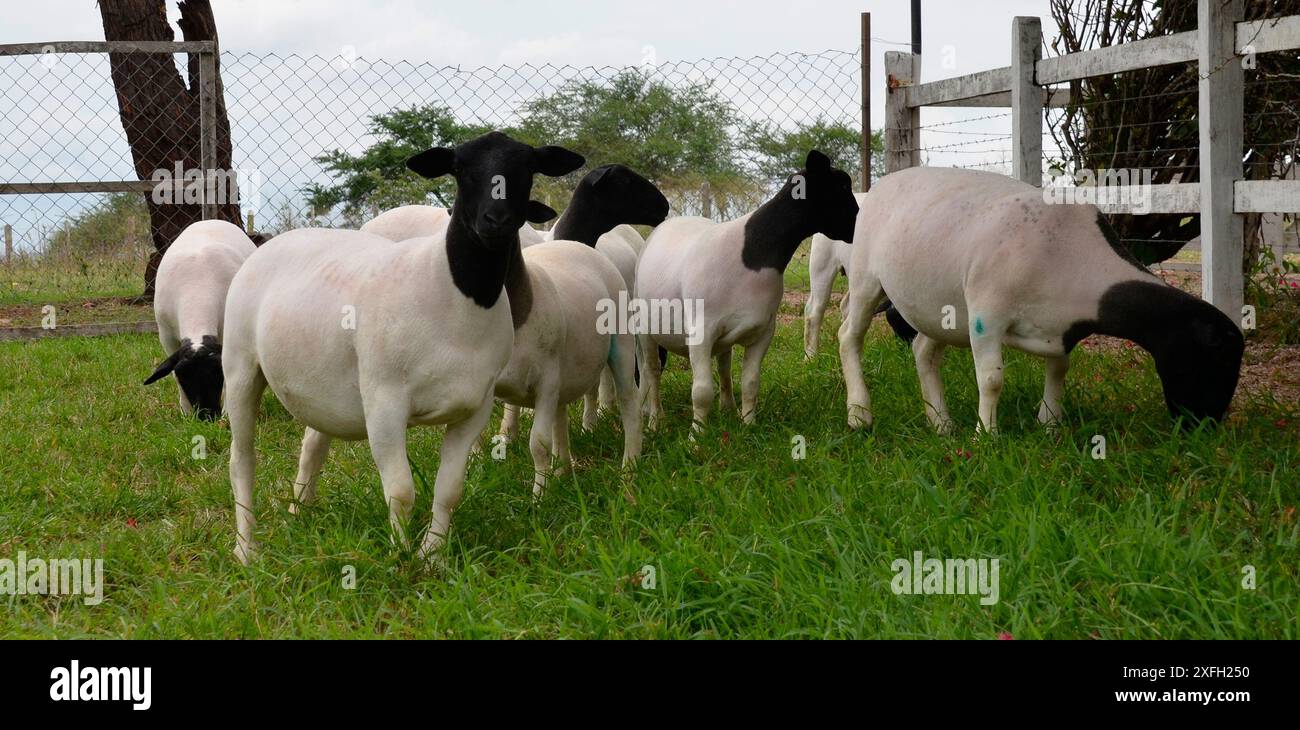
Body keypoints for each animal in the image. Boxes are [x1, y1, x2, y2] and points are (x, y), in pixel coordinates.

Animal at [144, 219, 257, 420]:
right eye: (185, 377)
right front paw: (186, 411)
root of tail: (211, 220)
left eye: (217, 373)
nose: (207, 416)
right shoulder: (167, 337)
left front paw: (227, 413)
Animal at [221, 131, 583, 564]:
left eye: (528, 168)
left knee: (312, 447)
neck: (455, 295)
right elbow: (400, 492)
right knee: (242, 460)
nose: (495, 221)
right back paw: (246, 548)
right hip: (240, 366)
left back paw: (299, 513)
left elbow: (450, 489)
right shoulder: (384, 402)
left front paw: (432, 555)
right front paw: (400, 555)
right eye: (460, 168)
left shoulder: (475, 407)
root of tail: (276, 241)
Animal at [637, 150, 859, 431]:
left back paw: (728, 409)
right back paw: (655, 421)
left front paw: (748, 425)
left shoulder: (763, 331)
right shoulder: (701, 332)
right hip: (646, 330)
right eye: (841, 187)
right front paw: (697, 434)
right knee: (652, 372)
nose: (863, 225)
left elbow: (750, 382)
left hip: (723, 337)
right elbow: (701, 391)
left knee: (723, 368)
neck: (751, 254)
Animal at [837, 167, 1244, 433]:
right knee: (848, 337)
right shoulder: (986, 315)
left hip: (939, 309)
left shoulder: (1058, 327)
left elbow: (1059, 369)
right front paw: (987, 437)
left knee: (922, 351)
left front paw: (1049, 424)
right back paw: (859, 414)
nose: (1204, 429)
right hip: (866, 280)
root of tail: (884, 182)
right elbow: (992, 380)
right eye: (1215, 356)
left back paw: (941, 423)